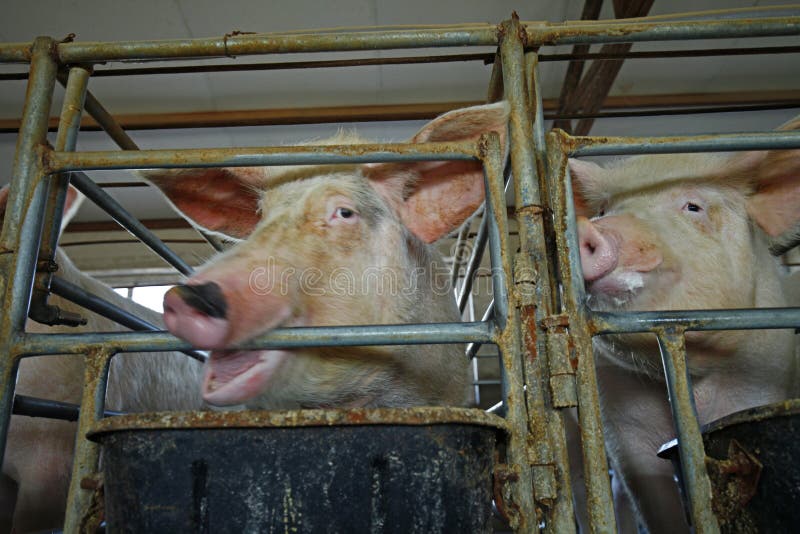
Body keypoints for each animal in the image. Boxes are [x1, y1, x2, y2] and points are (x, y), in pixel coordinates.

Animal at [568, 118, 800, 533]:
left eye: (693, 206)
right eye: (605, 208)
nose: (587, 227)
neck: (693, 378)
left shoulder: (763, 382)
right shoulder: (620, 425)